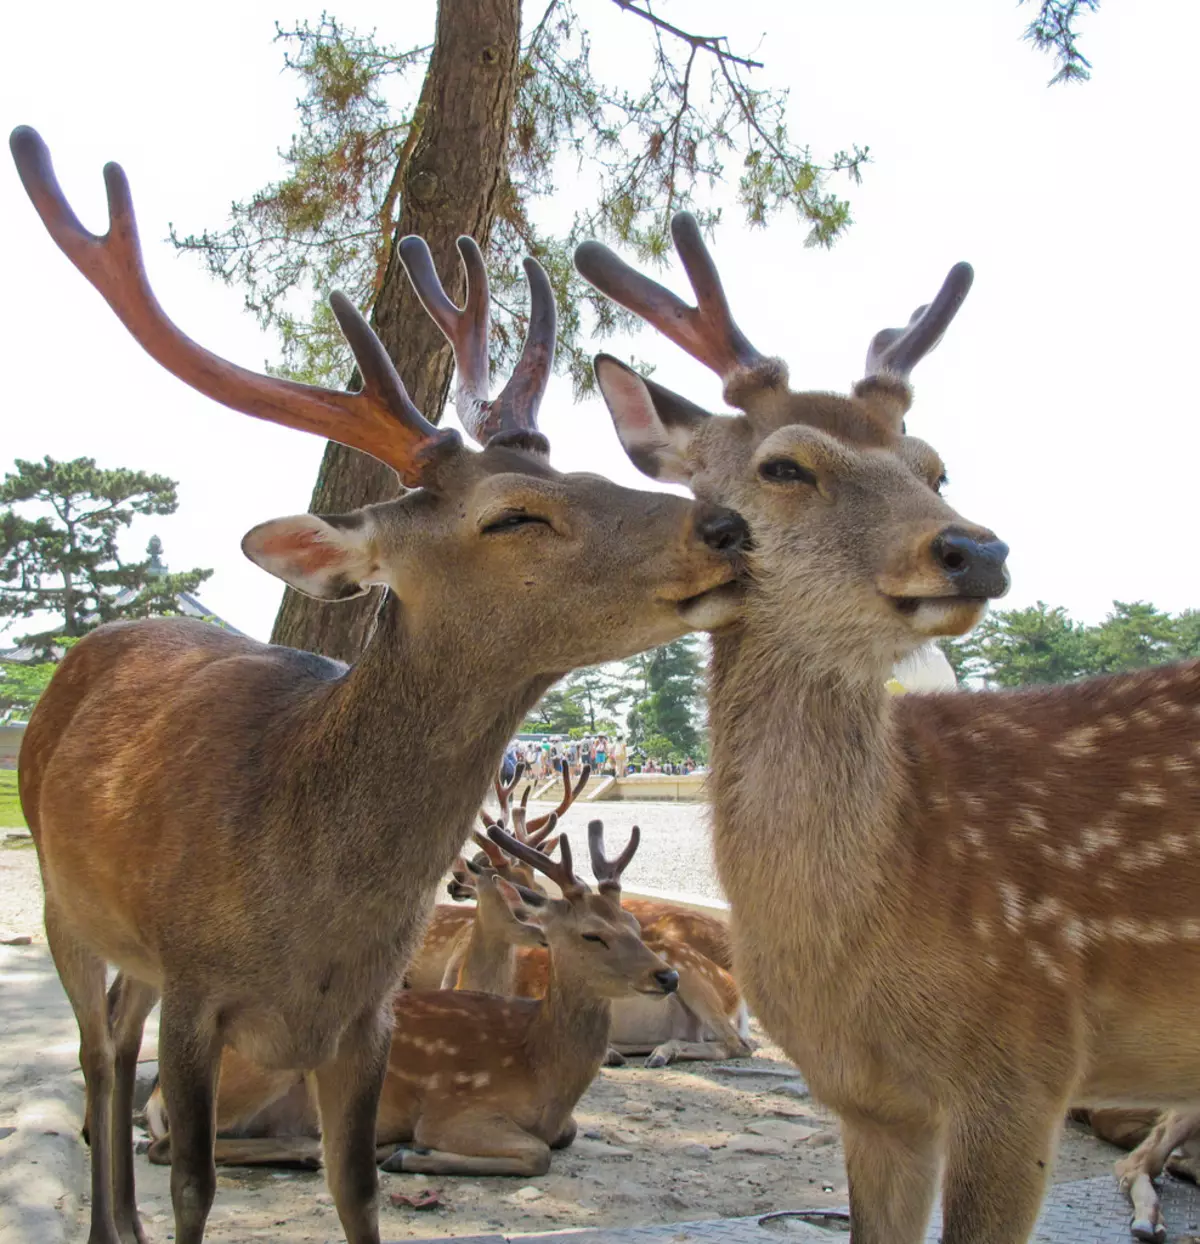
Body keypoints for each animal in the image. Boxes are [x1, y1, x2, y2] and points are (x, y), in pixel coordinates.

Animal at [146, 816, 676, 1174]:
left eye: (633, 923)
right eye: (592, 935)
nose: (667, 976)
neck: (542, 1071)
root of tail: (154, 1093)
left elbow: (562, 1137)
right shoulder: (453, 1109)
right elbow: (537, 1152)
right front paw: (410, 1153)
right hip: (258, 1072)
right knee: (168, 1148)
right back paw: (327, 1149)